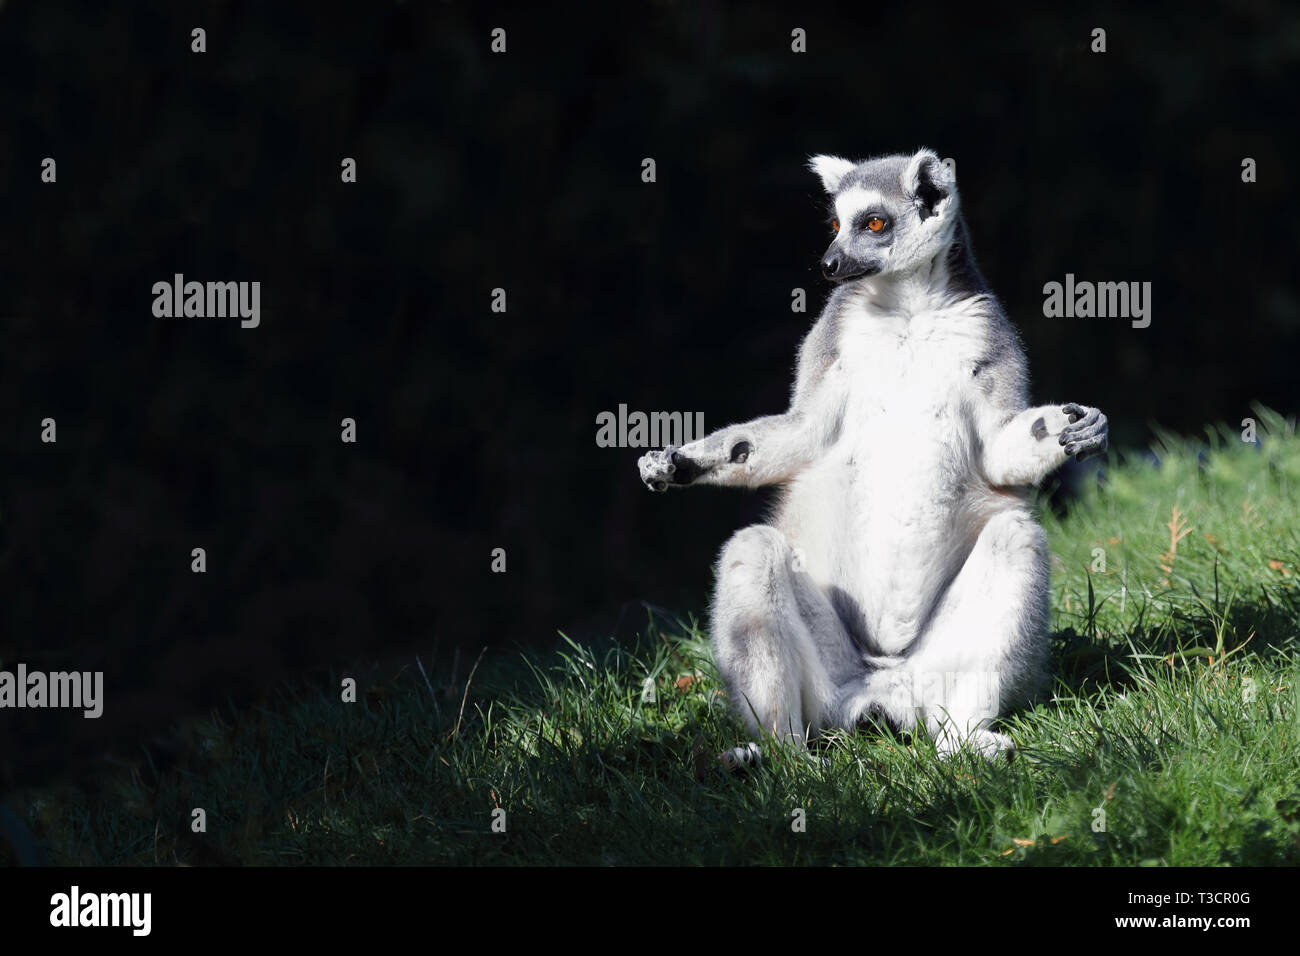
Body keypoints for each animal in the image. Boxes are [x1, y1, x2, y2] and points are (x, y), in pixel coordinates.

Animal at [637, 149, 1107, 761]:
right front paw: (679, 463)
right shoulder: (829, 341)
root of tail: (881, 689)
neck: (907, 309)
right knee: (754, 551)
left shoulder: (991, 339)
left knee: (1015, 540)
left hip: (938, 672)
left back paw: (965, 741)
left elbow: (1000, 452)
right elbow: (798, 436)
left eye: (874, 222)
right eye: (836, 224)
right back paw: (780, 757)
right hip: (828, 678)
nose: (829, 264)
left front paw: (1080, 428)